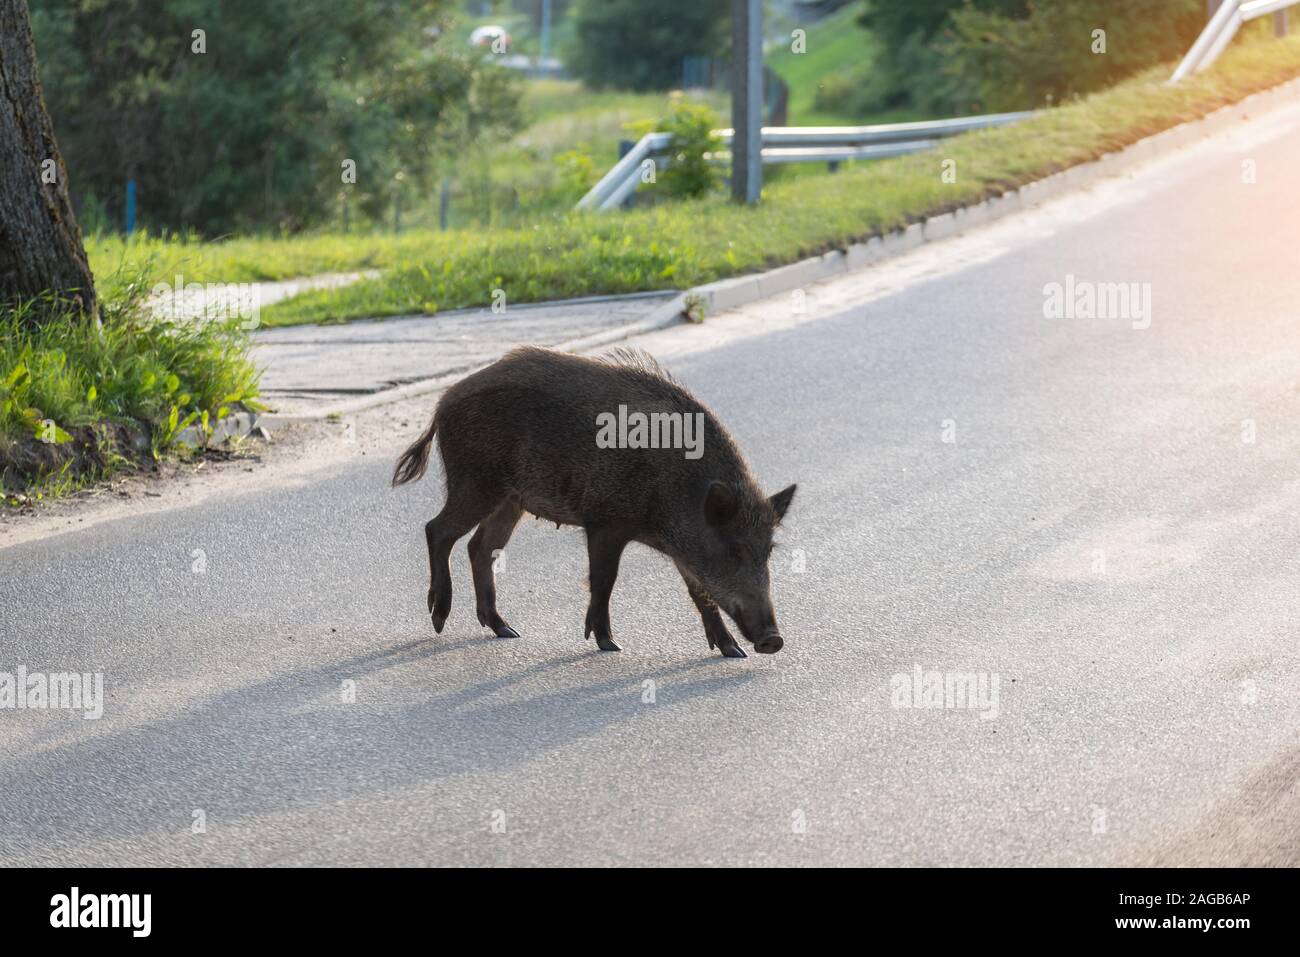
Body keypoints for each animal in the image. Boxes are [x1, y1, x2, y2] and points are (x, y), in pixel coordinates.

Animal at [392, 346, 796, 657]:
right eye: (734, 550)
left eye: (768, 552)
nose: (773, 640)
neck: (677, 490)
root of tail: (442, 403)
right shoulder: (605, 523)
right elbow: (604, 580)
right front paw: (608, 644)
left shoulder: (684, 553)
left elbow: (700, 594)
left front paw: (733, 652)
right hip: (475, 483)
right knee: (438, 530)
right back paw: (440, 619)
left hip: (510, 500)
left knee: (480, 547)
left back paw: (506, 630)